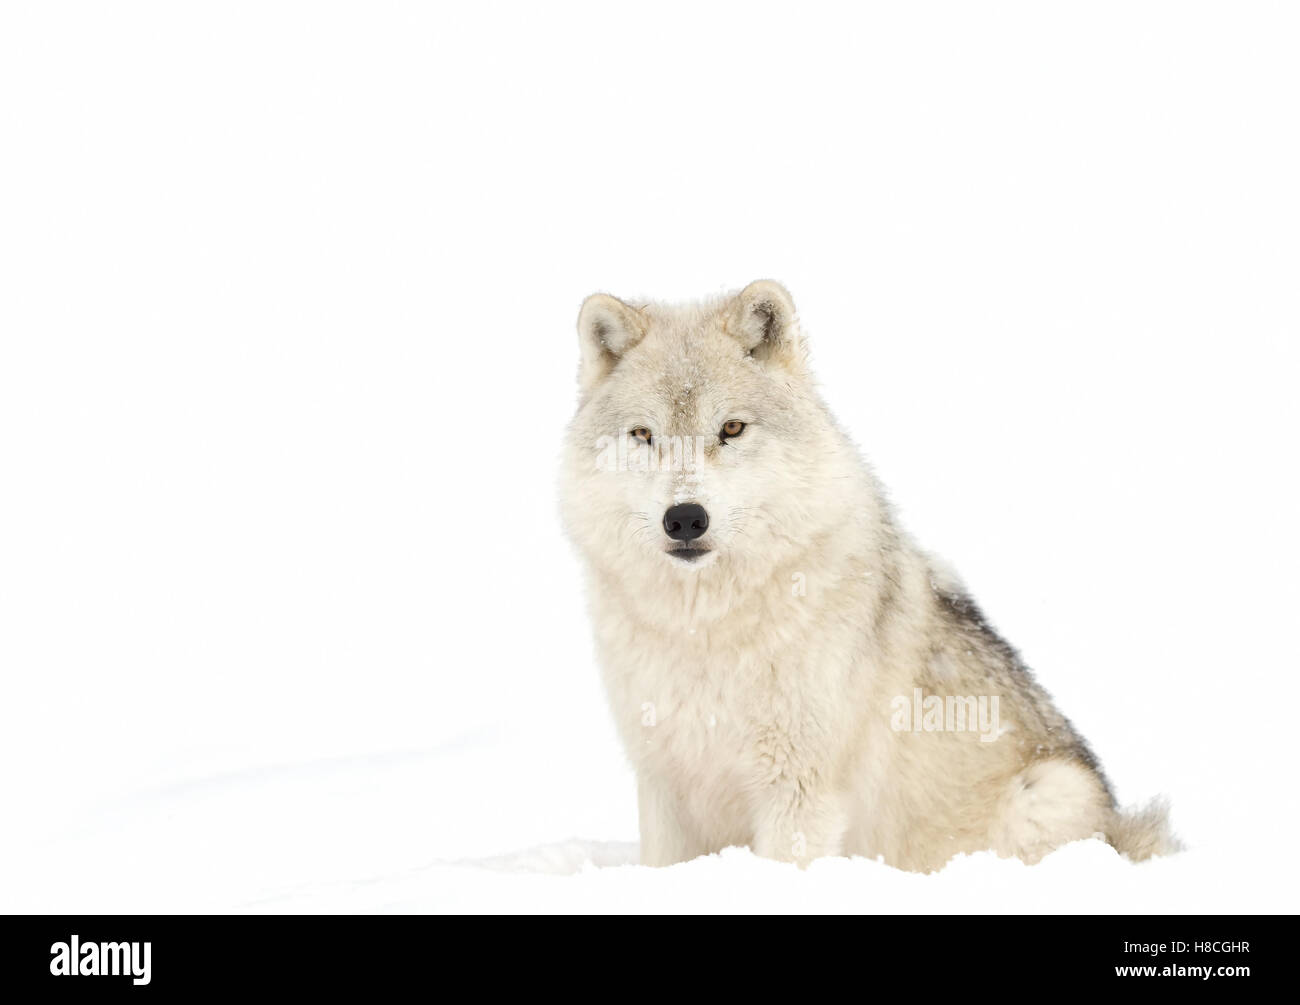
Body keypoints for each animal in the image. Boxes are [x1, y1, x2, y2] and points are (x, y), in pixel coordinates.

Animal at [560, 280, 1177, 871]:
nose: (685, 518)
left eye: (731, 428)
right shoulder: (666, 790)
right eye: (643, 435)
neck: (706, 631)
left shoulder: (798, 793)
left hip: (1047, 794)